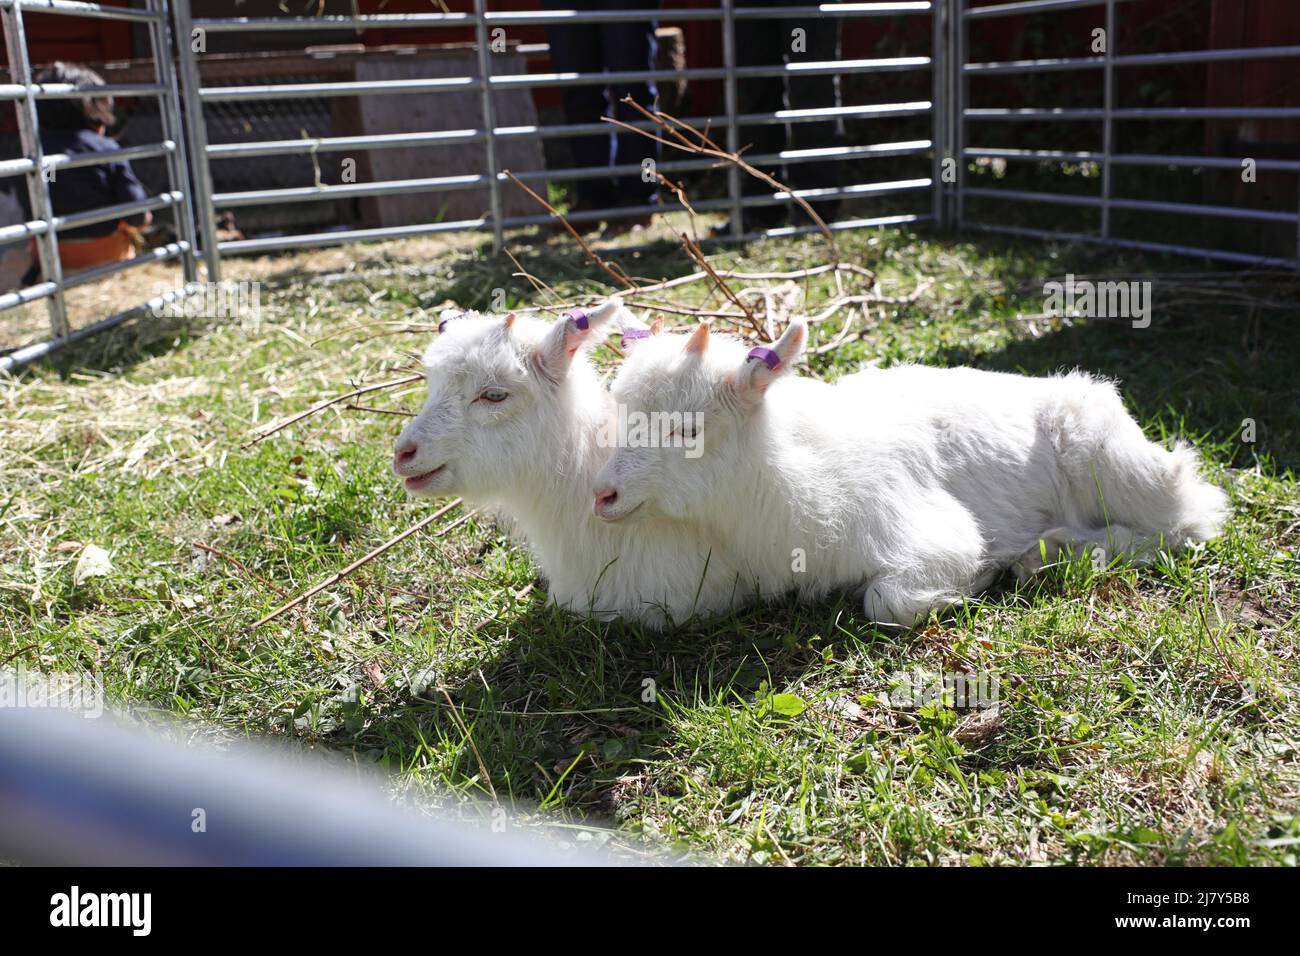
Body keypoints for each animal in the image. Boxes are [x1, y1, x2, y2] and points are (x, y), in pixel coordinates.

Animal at [592, 320, 1229, 626]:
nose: (602, 495)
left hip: (1115, 461)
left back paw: (1054, 553)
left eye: (687, 430)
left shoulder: (930, 531)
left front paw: (975, 580)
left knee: (1189, 519)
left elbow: (888, 600)